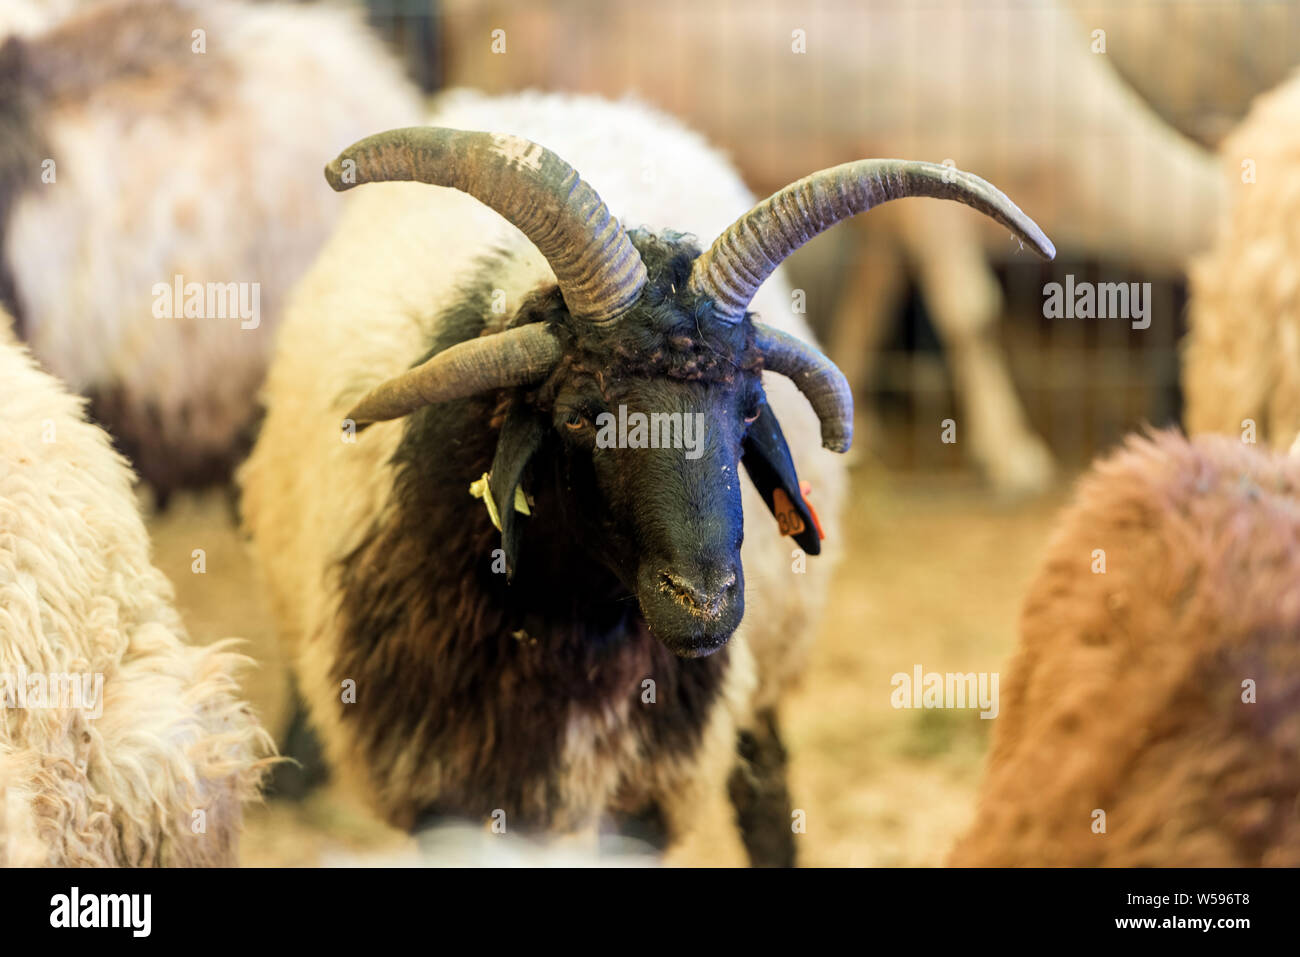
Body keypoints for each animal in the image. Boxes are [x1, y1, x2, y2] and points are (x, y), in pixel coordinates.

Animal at [239, 89, 1053, 864]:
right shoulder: (445, 784)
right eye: (578, 417)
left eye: (748, 410)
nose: (703, 604)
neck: (567, 618)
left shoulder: (650, 784)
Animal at [437, 0, 1222, 494]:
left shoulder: (892, 220)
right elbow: (970, 314)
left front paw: (859, 427)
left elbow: (873, 304)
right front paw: (1014, 453)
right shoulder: (937, 199)